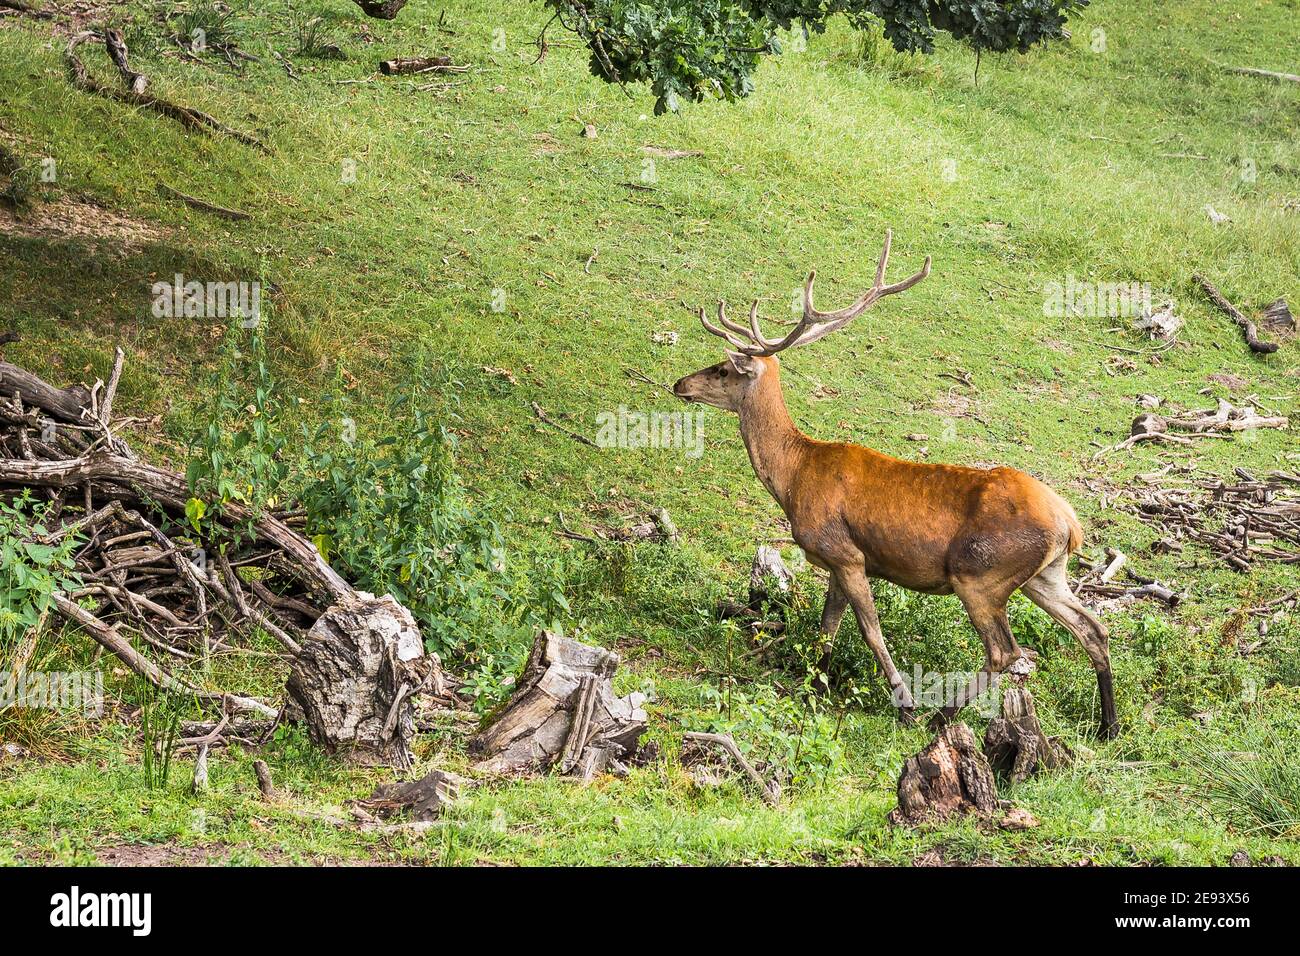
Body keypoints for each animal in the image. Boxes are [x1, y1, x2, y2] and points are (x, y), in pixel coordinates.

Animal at [672, 231, 1118, 738]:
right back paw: (1108, 725)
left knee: (1007, 652)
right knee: (1093, 629)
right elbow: (828, 628)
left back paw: (941, 715)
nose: (679, 384)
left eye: (722, 370)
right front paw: (812, 683)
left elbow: (870, 630)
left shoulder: (845, 552)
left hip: (980, 574)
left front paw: (901, 701)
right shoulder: (836, 559)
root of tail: (1072, 525)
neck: (794, 476)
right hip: (1045, 575)